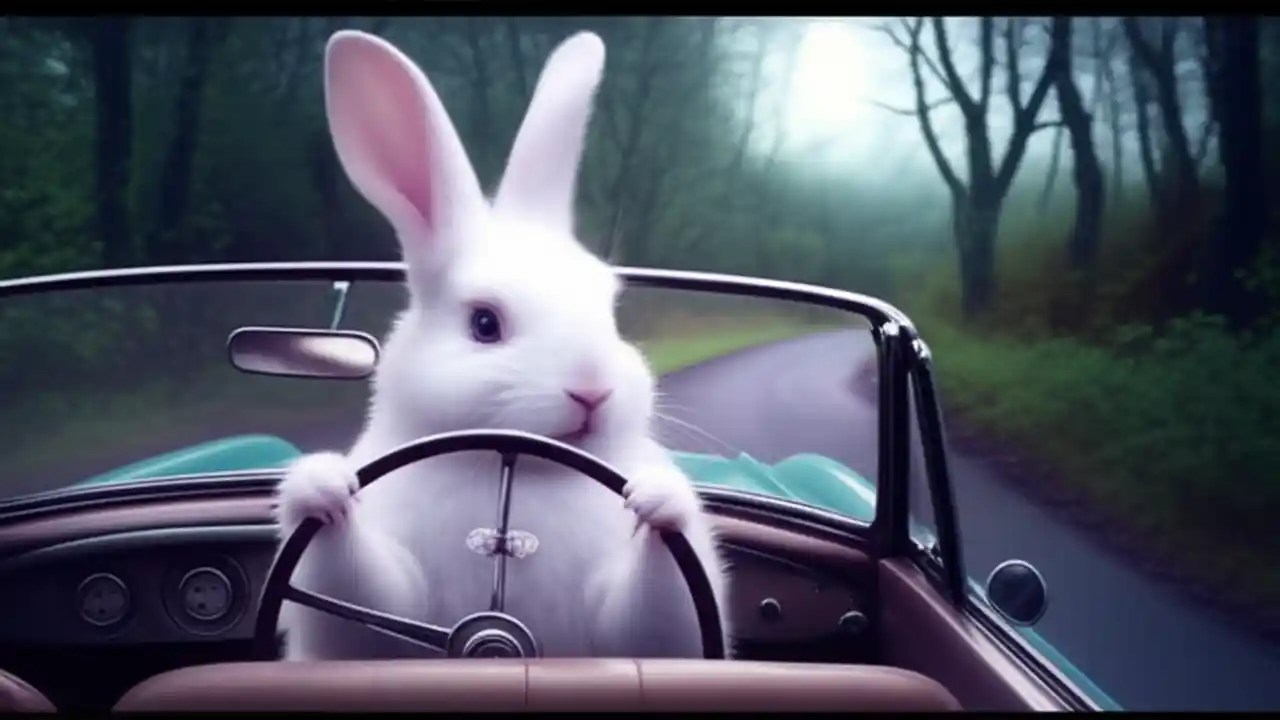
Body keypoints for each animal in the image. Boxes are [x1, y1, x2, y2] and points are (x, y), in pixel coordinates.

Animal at [272, 29, 733, 662]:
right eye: (485, 324)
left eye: (609, 309)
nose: (592, 392)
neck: (513, 468)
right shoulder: (365, 615)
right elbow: (354, 593)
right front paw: (319, 485)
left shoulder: (649, 628)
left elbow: (657, 613)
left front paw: (661, 500)